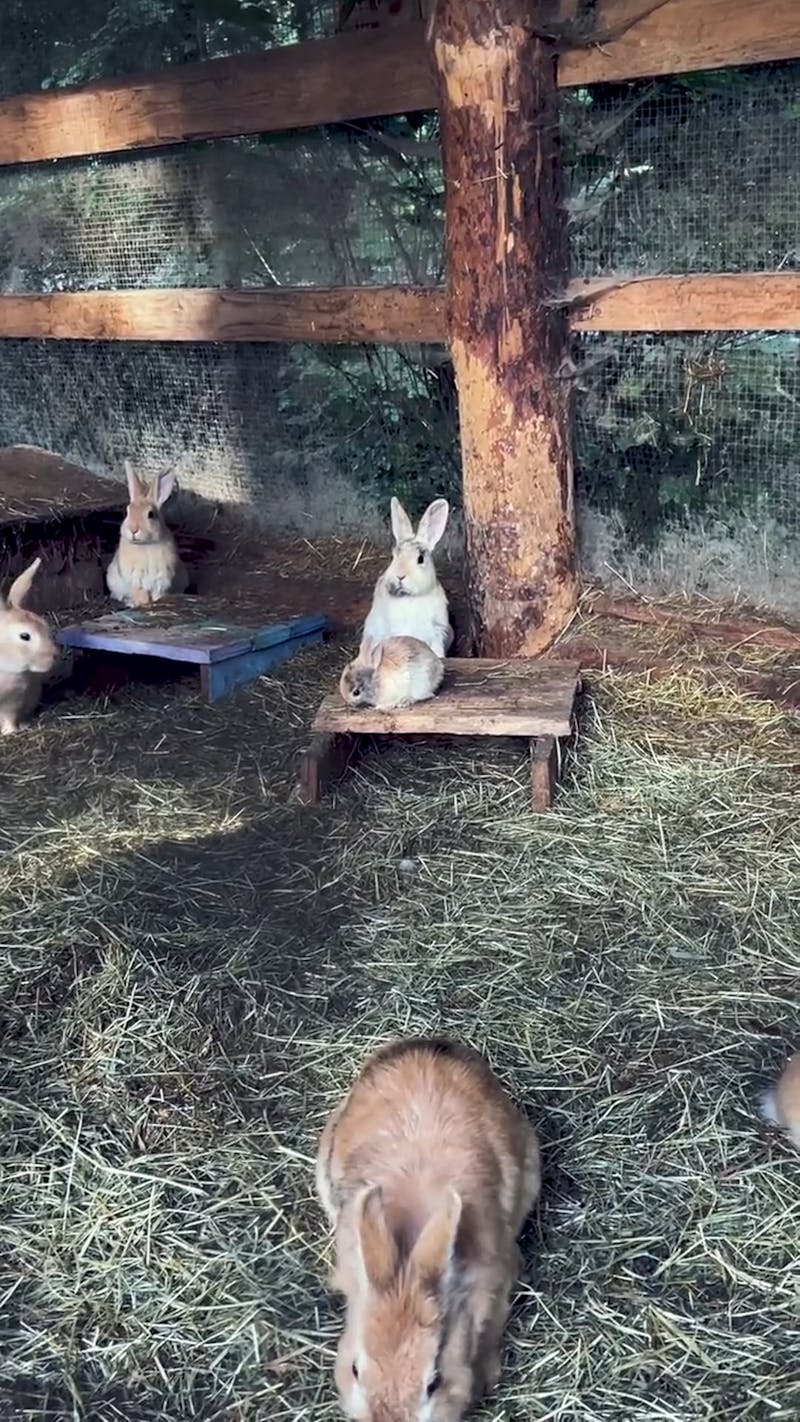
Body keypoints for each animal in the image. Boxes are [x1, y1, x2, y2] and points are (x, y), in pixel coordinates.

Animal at [0, 558, 57, 734]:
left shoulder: (13, 701)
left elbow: (10, 718)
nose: (54, 656)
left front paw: (10, 732)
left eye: (45, 625)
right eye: (25, 636)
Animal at [106, 461, 188, 608]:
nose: (133, 529)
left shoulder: (161, 580)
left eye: (150, 514)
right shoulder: (136, 580)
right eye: (128, 511)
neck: (145, 545)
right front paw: (141, 604)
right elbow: (141, 595)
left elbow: (158, 595)